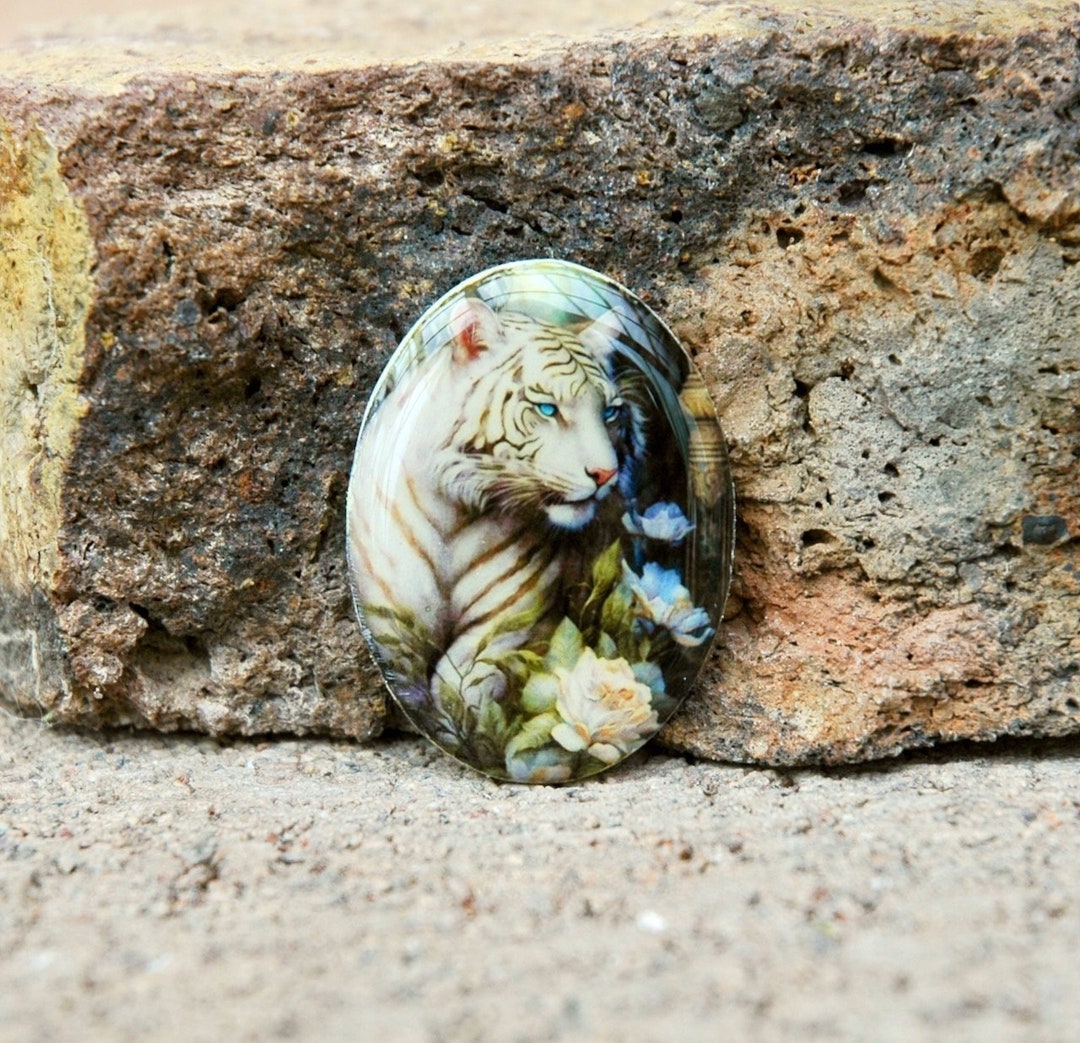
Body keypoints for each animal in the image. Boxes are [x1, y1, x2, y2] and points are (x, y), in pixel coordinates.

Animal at [347, 297, 639, 713]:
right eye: (548, 409)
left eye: (609, 413)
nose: (606, 474)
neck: (453, 517)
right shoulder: (391, 625)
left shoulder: (508, 628)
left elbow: (459, 694)